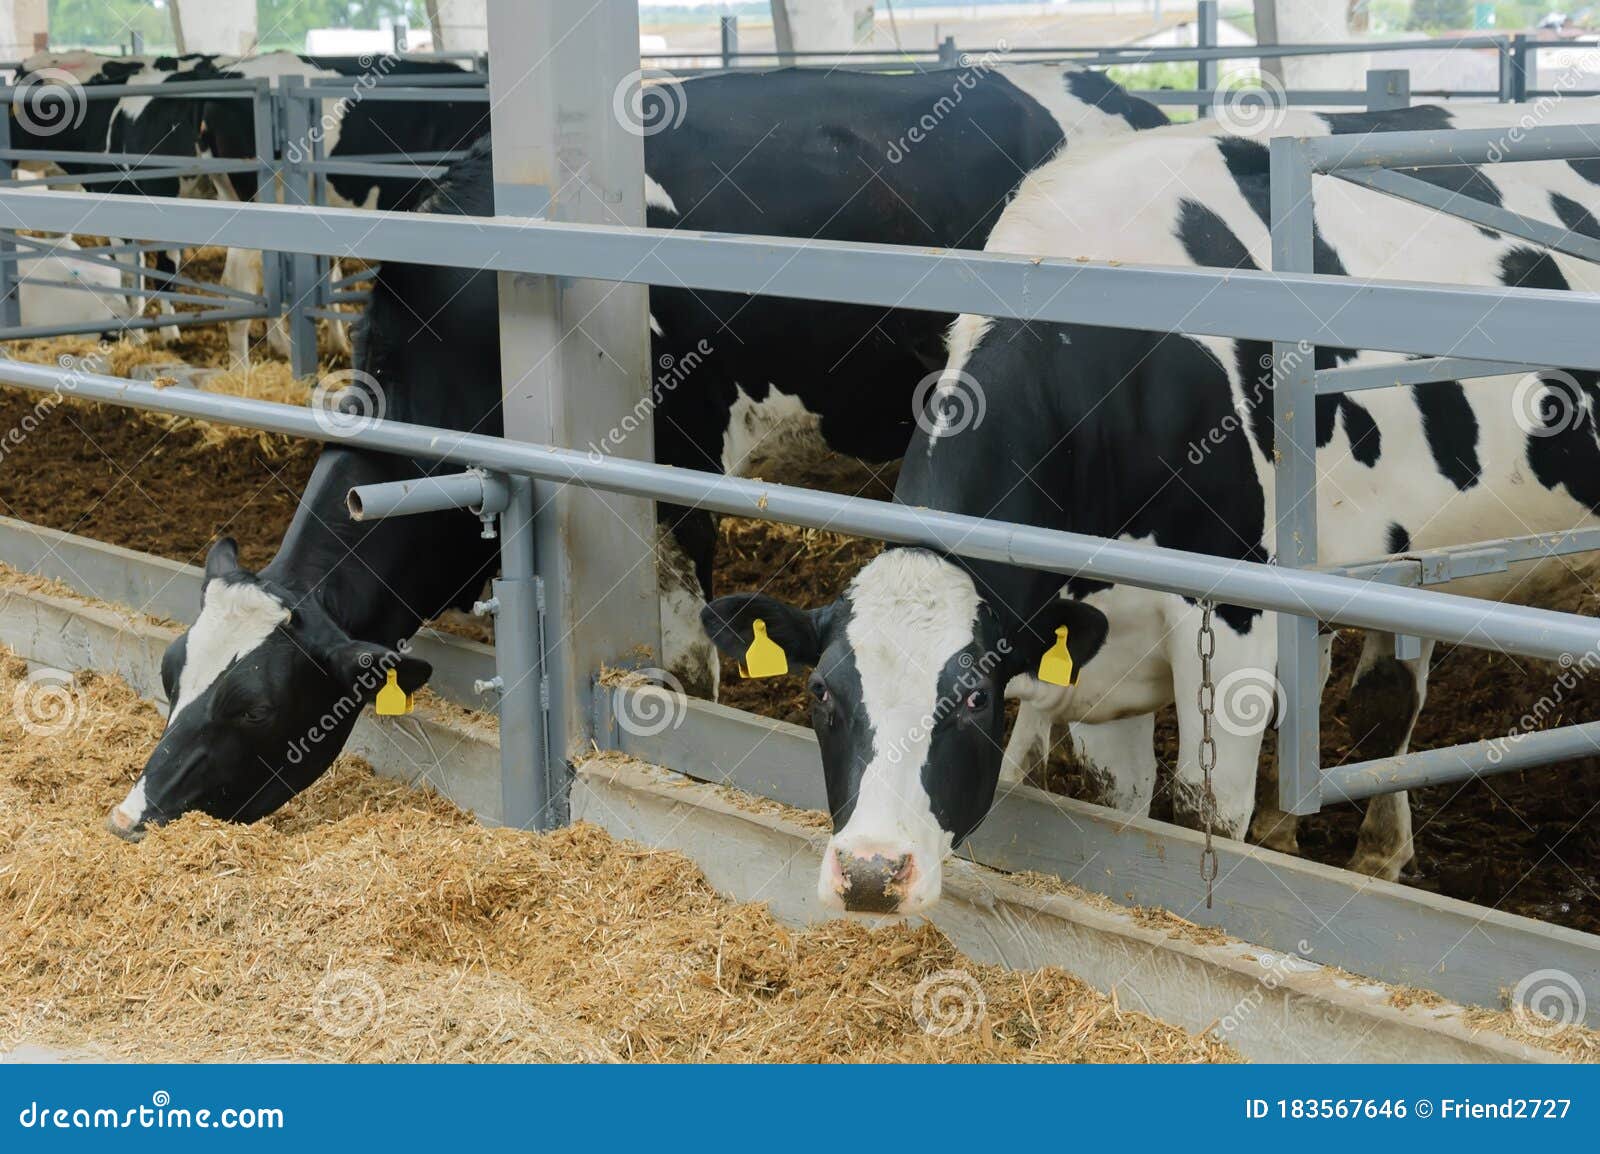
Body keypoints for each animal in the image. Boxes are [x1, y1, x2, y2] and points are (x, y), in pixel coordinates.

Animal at [702, 100, 1600, 914]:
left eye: (973, 699)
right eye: (823, 695)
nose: (870, 872)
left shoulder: (1235, 622)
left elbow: (1208, 811)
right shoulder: (1096, 643)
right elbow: (1121, 804)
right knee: (1383, 697)